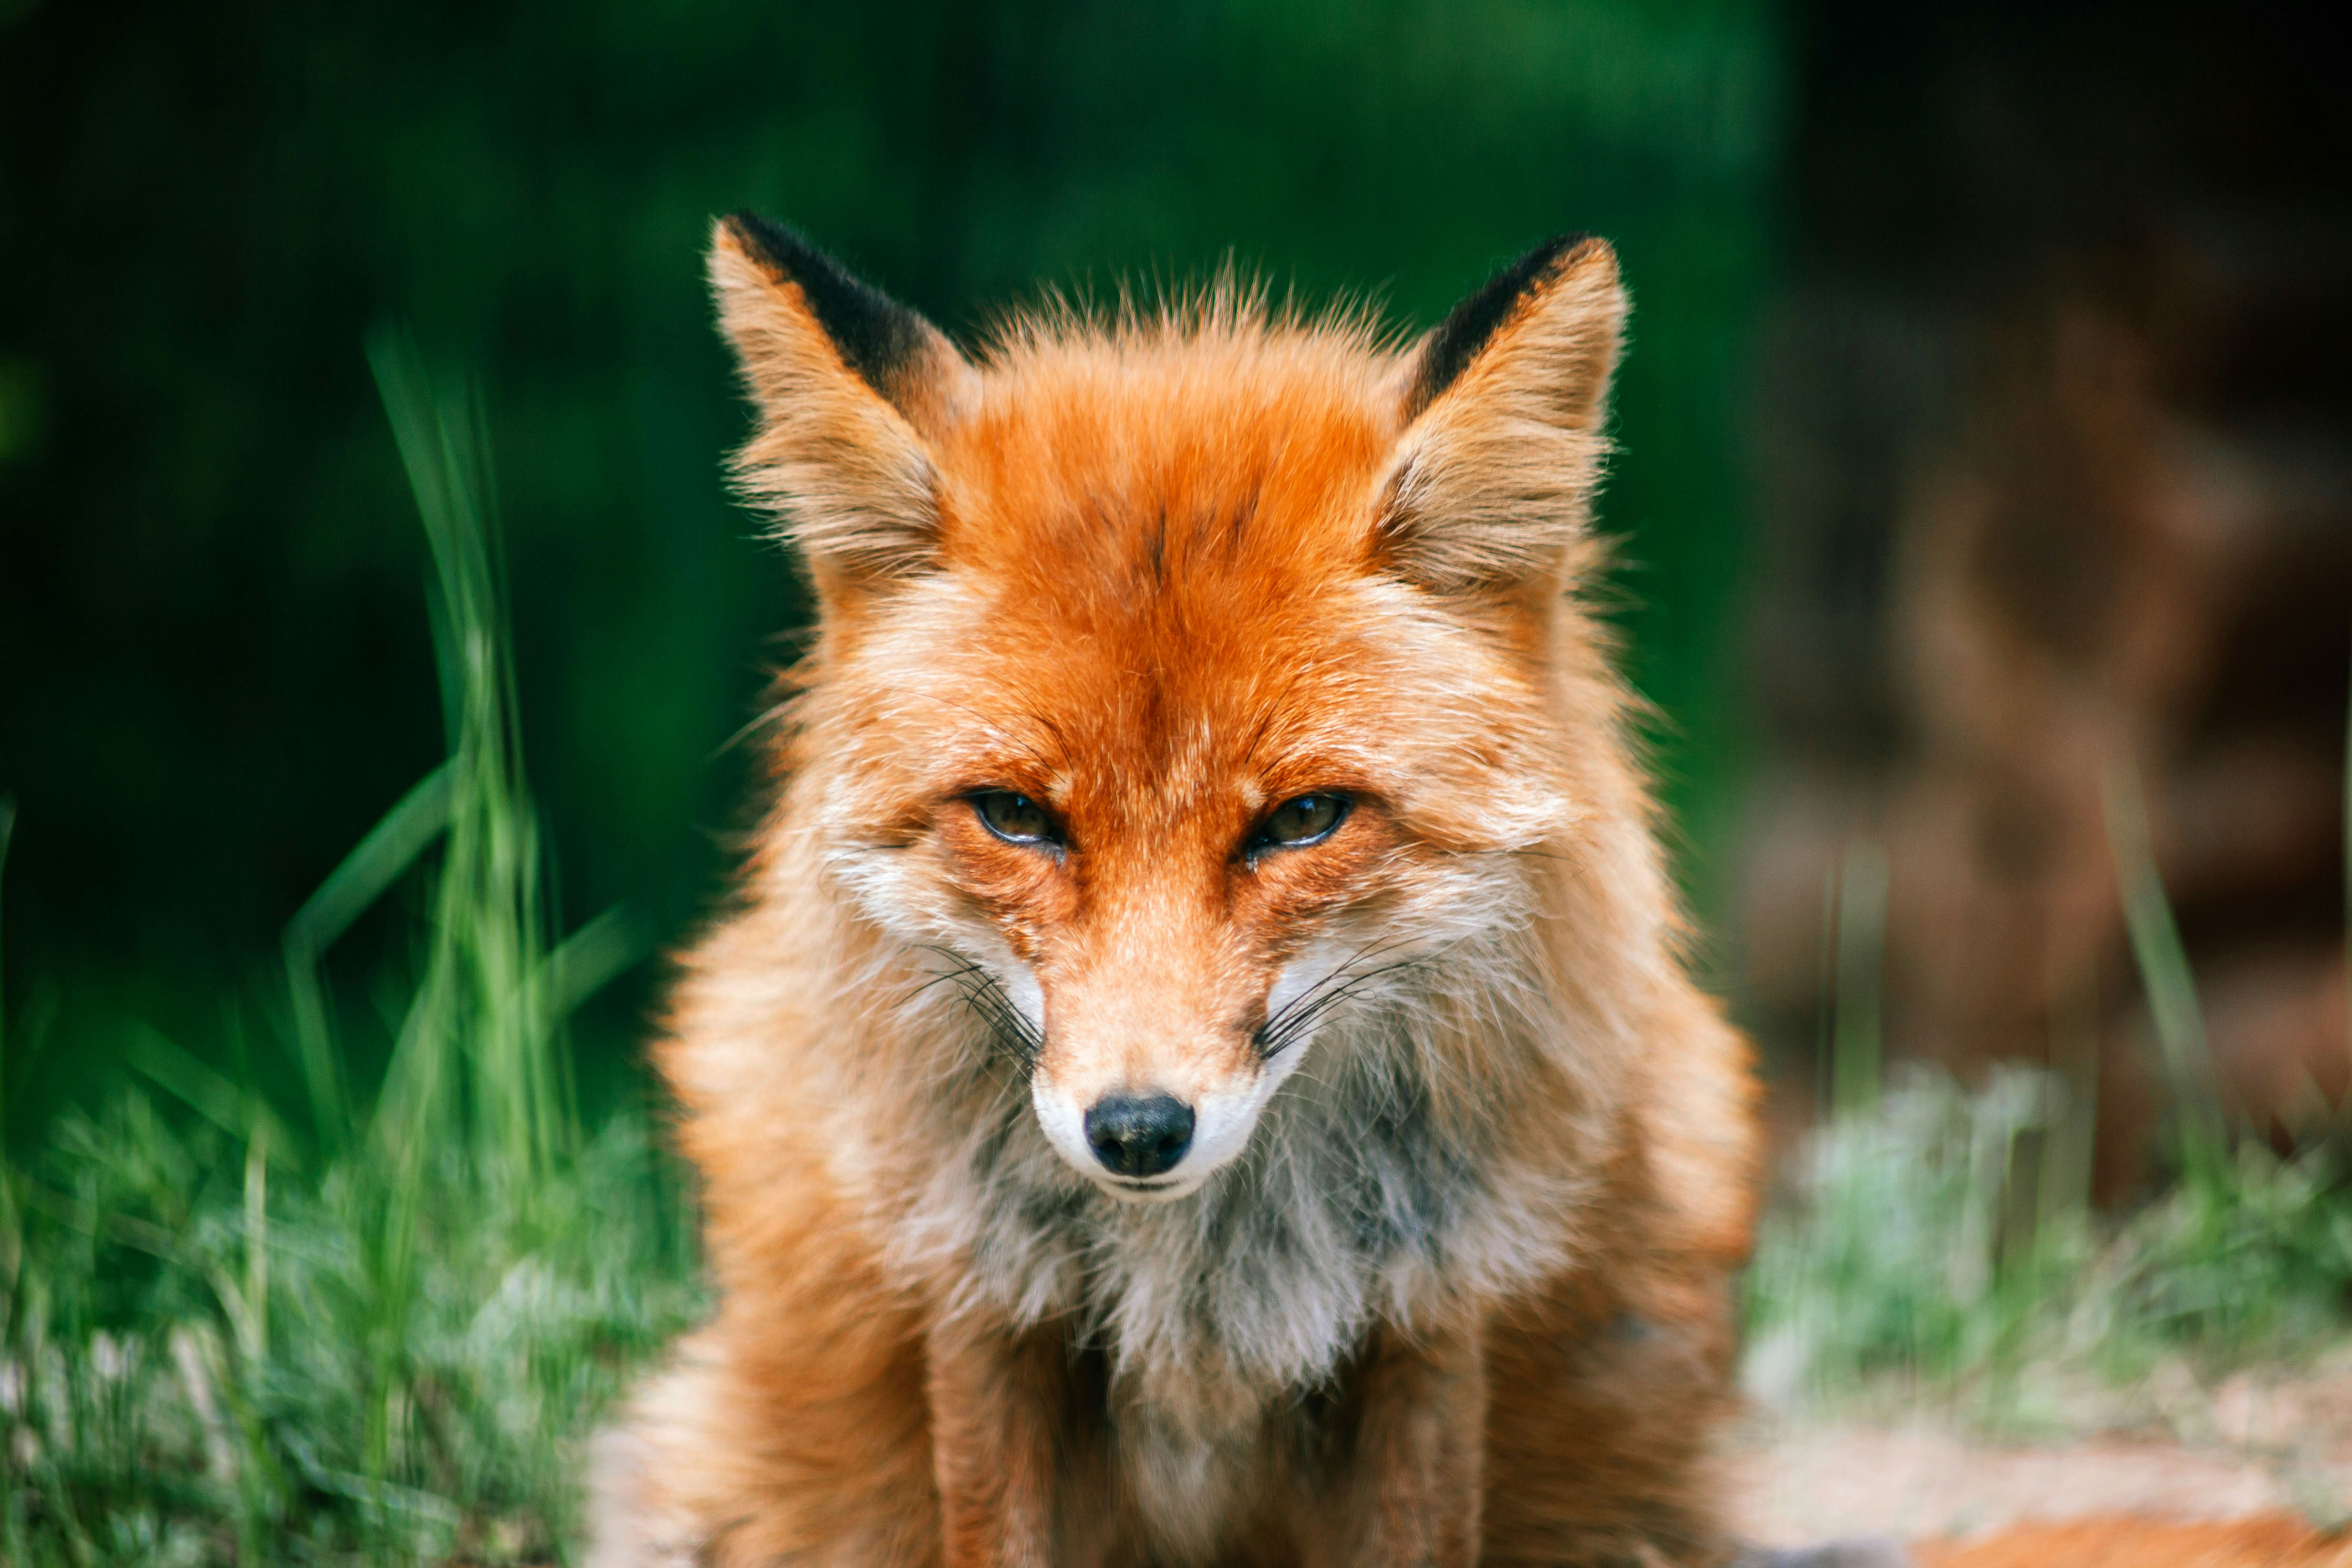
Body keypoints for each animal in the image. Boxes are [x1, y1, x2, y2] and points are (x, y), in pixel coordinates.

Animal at [588, 213, 1847, 1568]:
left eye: (1300, 820)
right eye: (1016, 816)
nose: (1137, 1129)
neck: (1205, 1278)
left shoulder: (1433, 1312)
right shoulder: (980, 1300)